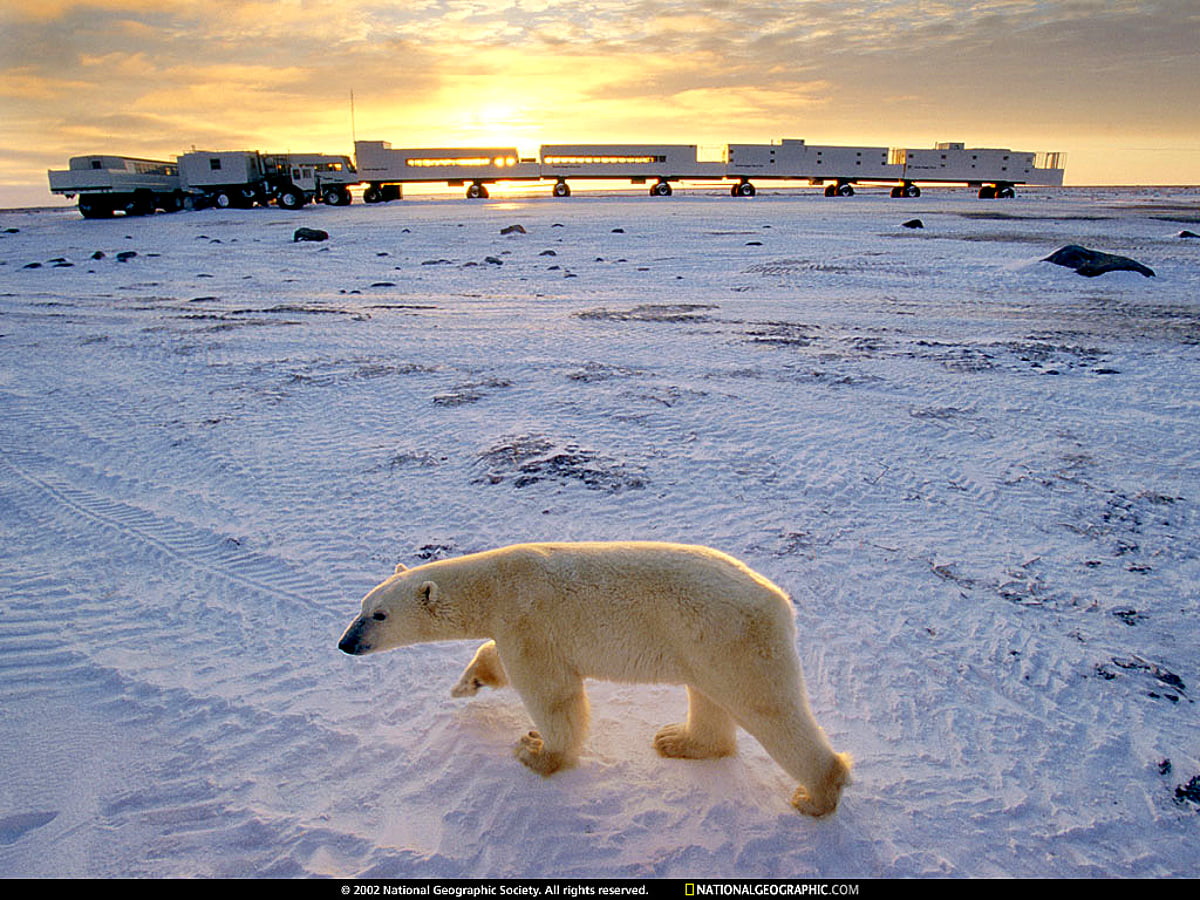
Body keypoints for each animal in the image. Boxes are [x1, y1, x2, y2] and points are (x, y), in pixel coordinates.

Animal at [337, 541, 851, 816]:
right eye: (361, 607)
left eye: (379, 615)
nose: (345, 643)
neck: (498, 583)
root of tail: (780, 603)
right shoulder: (513, 626)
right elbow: (495, 657)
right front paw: (466, 684)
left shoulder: (529, 621)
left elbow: (553, 694)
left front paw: (537, 752)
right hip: (702, 647)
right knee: (708, 697)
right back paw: (679, 740)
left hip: (729, 639)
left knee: (769, 709)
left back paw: (816, 794)